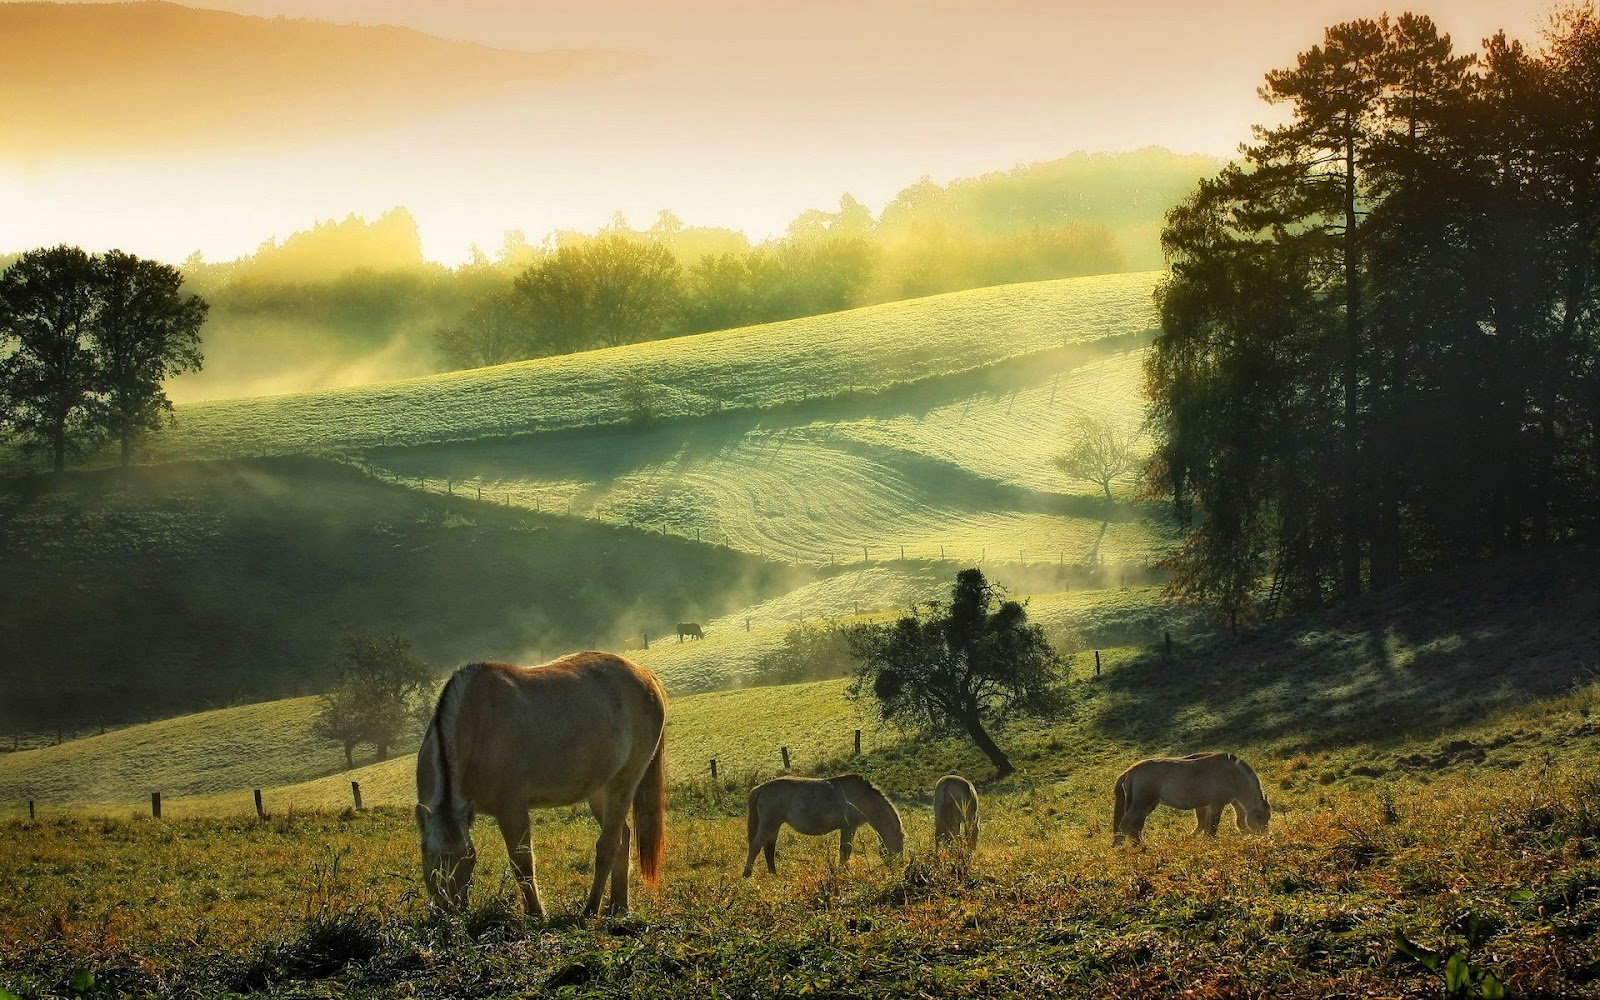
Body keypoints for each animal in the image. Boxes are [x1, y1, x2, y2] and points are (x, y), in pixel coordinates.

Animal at [415, 652, 667, 918]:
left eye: (469, 858)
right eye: (430, 858)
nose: (450, 911)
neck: (476, 725)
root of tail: (645, 676)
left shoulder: (512, 809)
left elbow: (522, 863)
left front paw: (536, 913)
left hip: (624, 782)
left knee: (608, 845)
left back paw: (590, 909)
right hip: (601, 791)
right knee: (623, 837)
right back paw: (618, 906)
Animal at [743, 774, 904, 876]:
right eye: (899, 844)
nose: (900, 867)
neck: (862, 798)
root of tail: (762, 788)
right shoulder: (848, 827)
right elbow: (845, 851)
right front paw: (844, 872)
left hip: (774, 825)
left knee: (769, 848)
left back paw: (774, 874)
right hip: (769, 824)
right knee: (756, 846)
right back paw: (747, 875)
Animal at [1111, 752, 1270, 846]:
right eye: (1259, 816)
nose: (1264, 835)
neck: (1233, 774)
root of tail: (1130, 771)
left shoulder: (1209, 805)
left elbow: (1206, 826)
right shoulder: (1217, 804)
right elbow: (1212, 827)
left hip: (1145, 805)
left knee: (1135, 826)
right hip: (1142, 803)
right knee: (1126, 824)